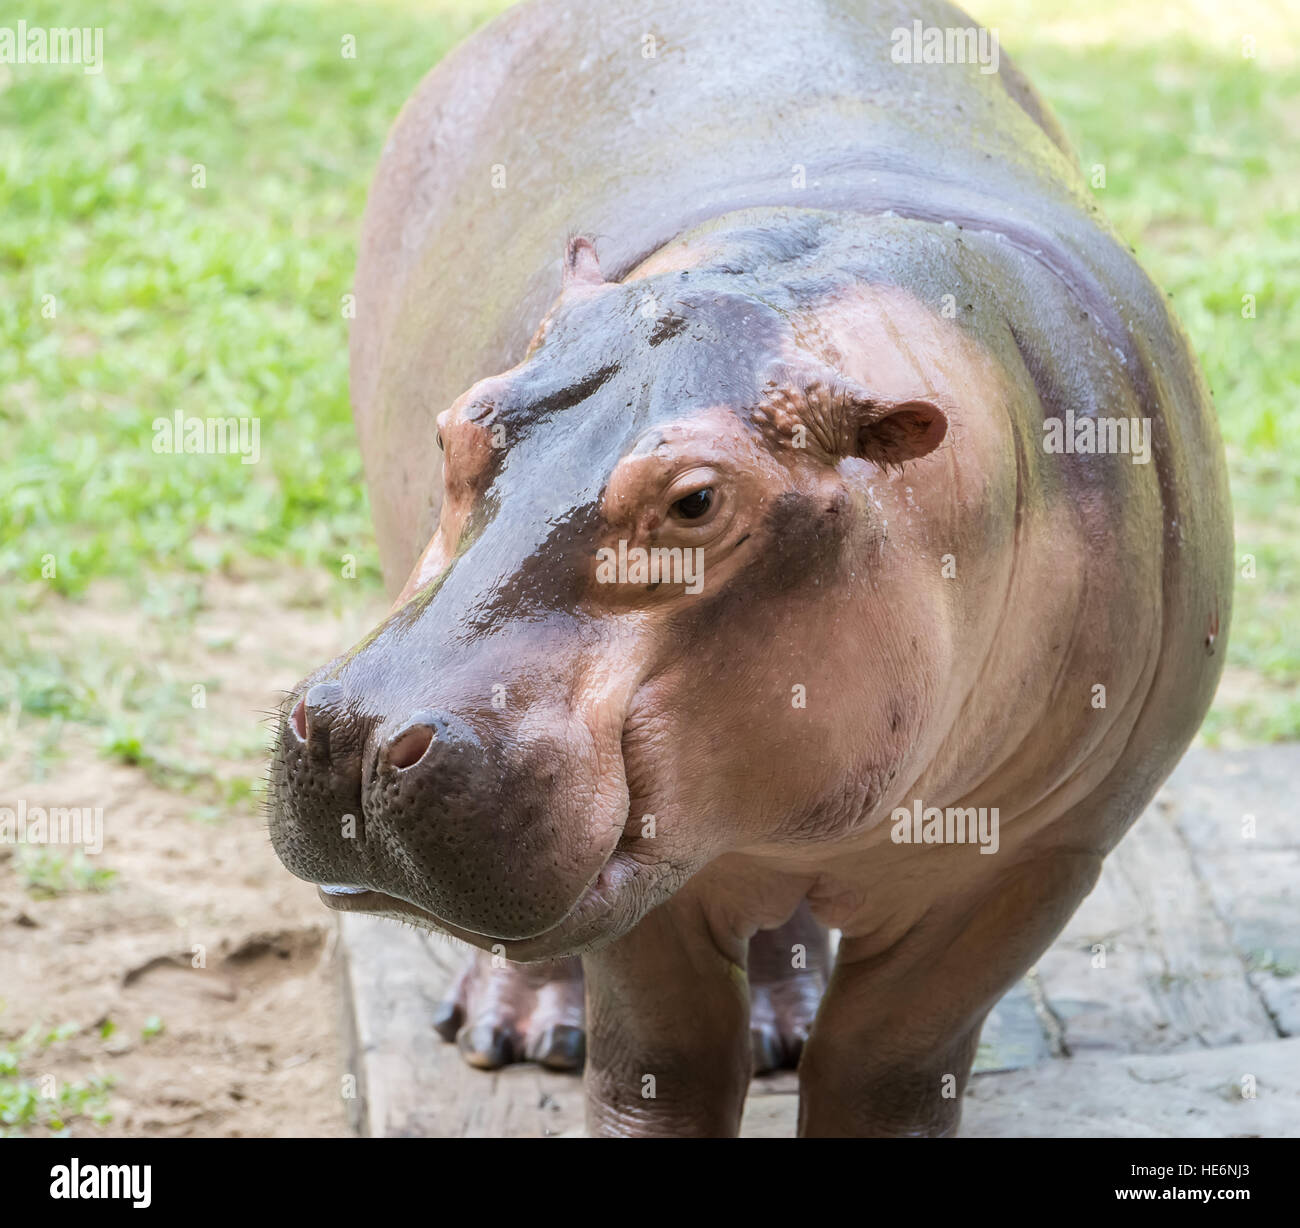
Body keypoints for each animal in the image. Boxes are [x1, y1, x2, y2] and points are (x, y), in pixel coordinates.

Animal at [268, 0, 1232, 1137]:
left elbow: (887, 1071)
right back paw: (521, 1029)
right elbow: (664, 1067)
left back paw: (784, 1026)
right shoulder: (654, 866)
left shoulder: (1037, 859)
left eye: (696, 501)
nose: (354, 730)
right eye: (459, 423)